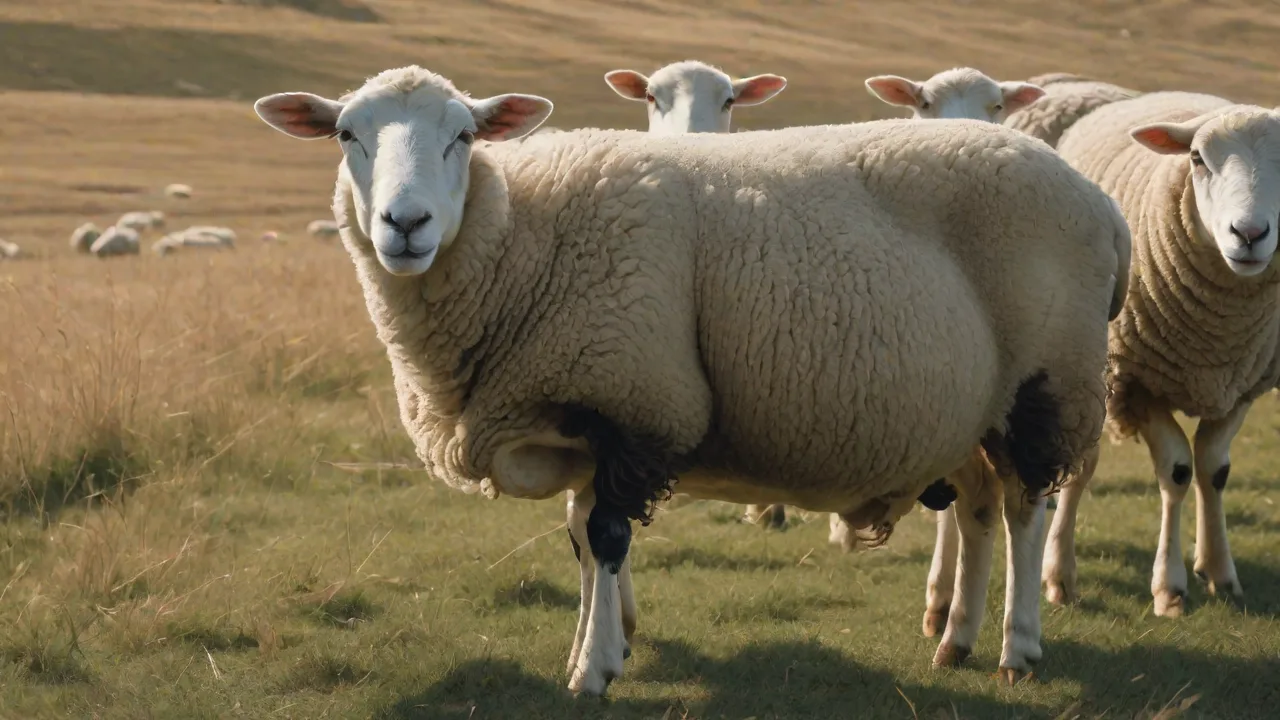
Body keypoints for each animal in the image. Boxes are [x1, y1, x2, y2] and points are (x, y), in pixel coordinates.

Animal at [1043, 93, 1280, 618]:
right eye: (1196, 159)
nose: (1249, 234)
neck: (1220, 330)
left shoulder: (1243, 384)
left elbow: (1213, 469)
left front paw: (1219, 571)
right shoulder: (1137, 381)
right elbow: (1176, 471)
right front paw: (1169, 588)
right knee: (1081, 468)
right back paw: (1059, 574)